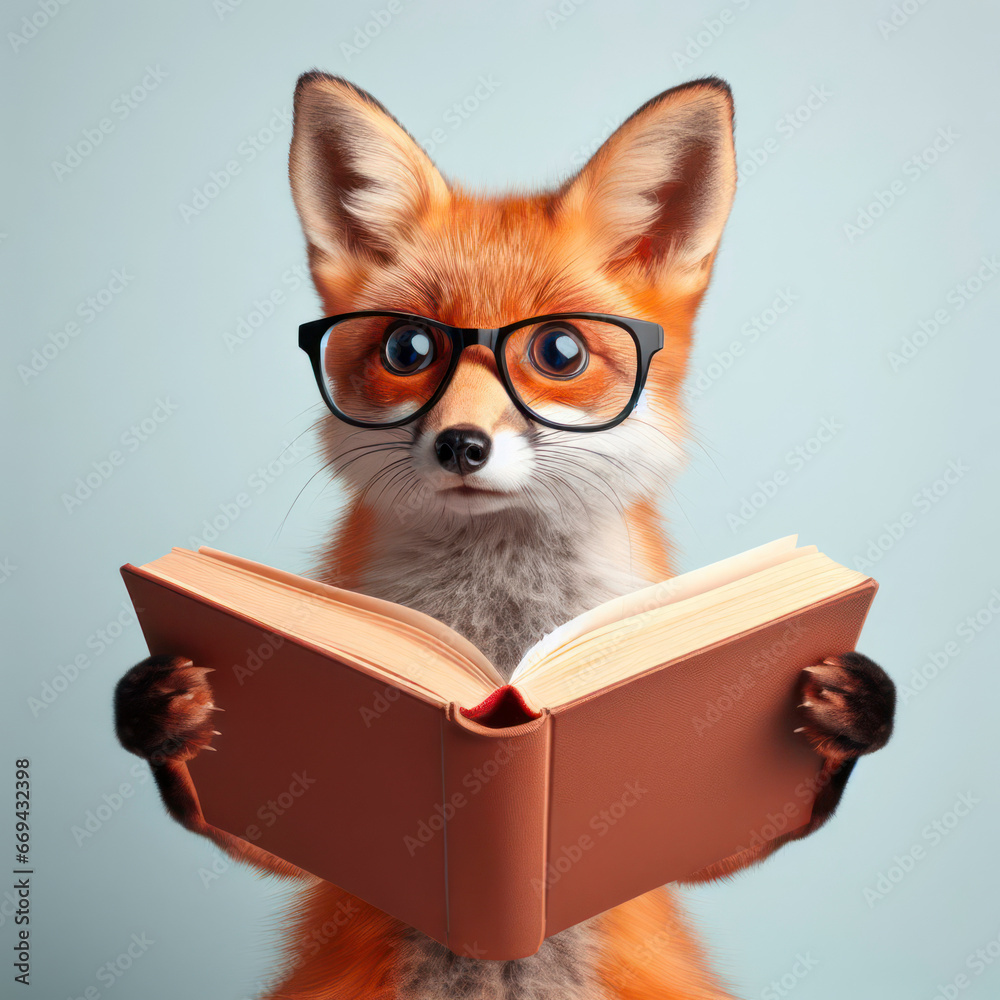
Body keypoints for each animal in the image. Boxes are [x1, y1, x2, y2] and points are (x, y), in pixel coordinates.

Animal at [114, 73, 896, 1000]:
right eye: (409, 348)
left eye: (558, 352)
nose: (461, 445)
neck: (500, 633)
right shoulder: (321, 853)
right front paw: (163, 713)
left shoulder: (673, 856)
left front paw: (850, 713)